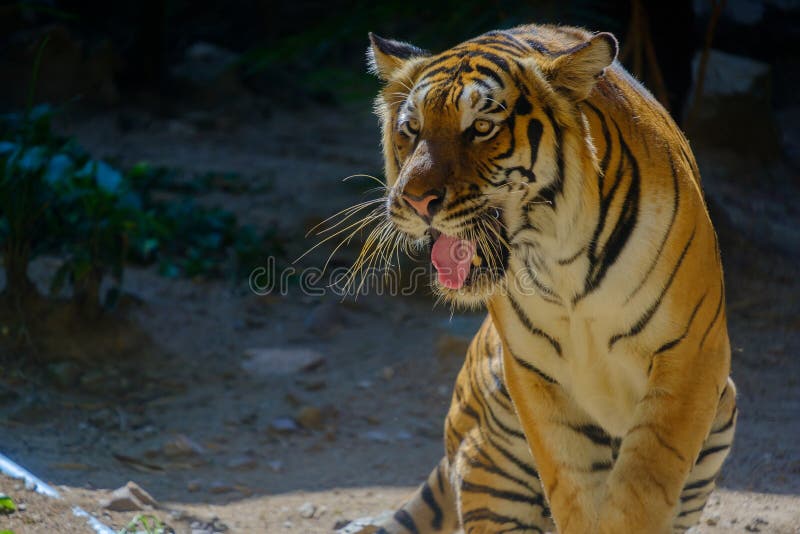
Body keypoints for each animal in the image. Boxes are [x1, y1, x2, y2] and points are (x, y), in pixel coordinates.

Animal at [338, 23, 737, 534]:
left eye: (481, 128)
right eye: (411, 130)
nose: (414, 200)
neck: (560, 261)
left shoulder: (688, 356)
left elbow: (642, 486)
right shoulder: (535, 373)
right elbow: (573, 489)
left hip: (720, 412)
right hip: (495, 460)